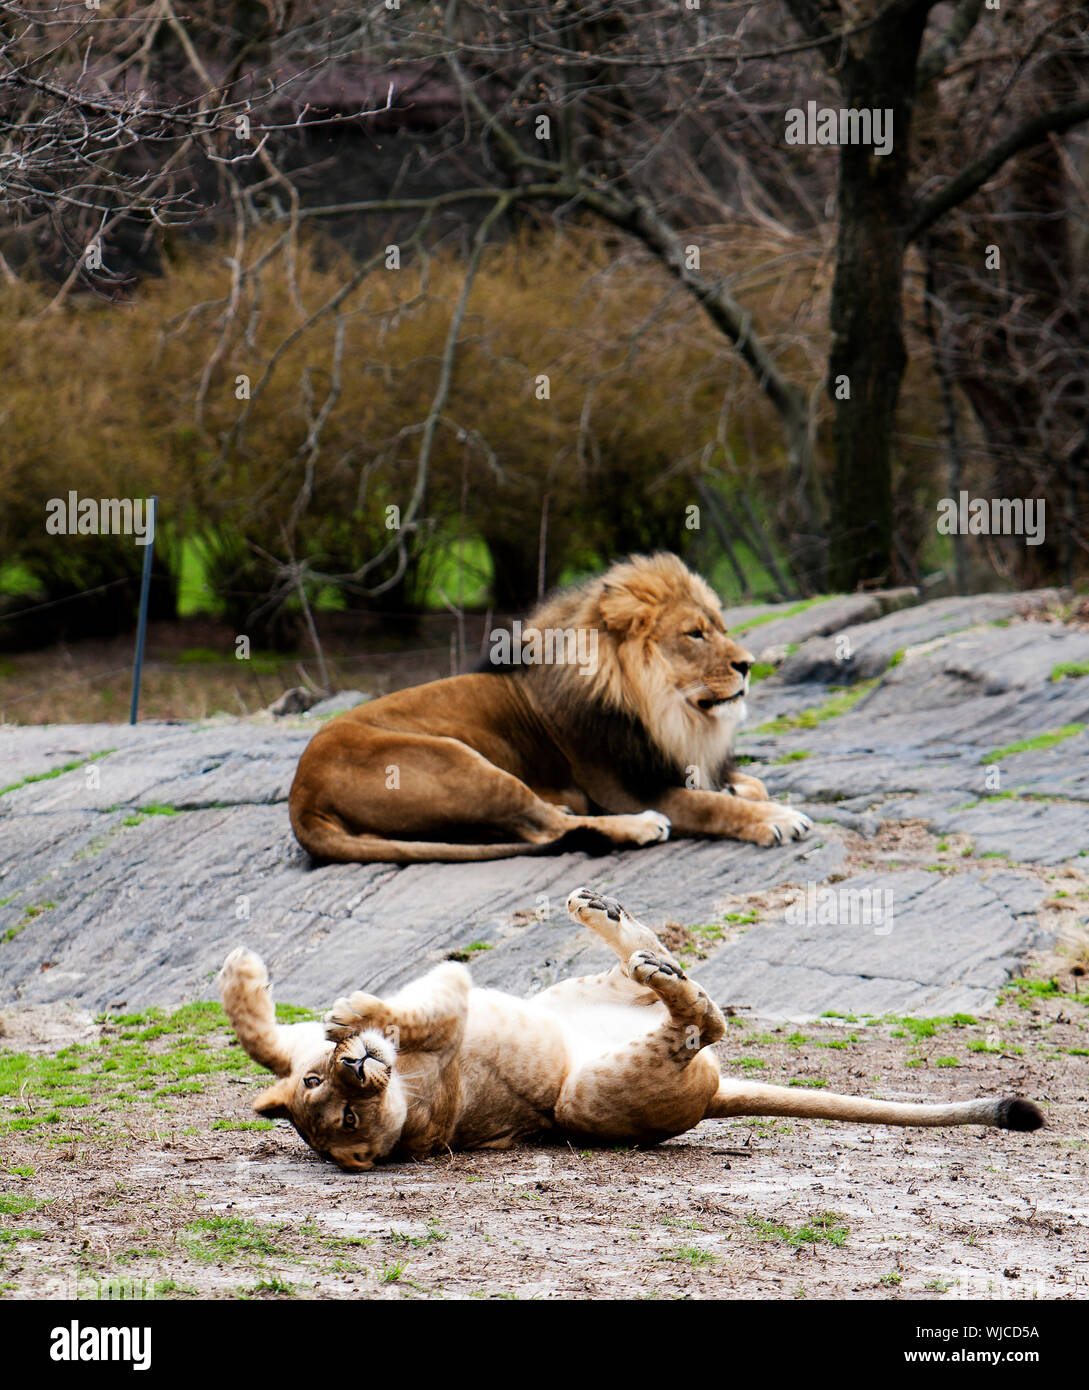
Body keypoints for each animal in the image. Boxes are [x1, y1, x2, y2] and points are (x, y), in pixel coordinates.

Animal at [219, 887, 1044, 1171]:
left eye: (324, 1087)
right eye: (345, 1121)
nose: (355, 1068)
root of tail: (714, 1097)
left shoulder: (308, 1045)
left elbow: (261, 1035)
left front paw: (242, 971)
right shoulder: (447, 1026)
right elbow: (428, 998)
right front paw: (359, 1015)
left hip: (572, 994)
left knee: (667, 972)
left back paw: (604, 912)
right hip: (586, 1098)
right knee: (704, 1020)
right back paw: (658, 972)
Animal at [288, 552, 812, 863]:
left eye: (720, 626)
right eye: (694, 634)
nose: (747, 665)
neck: (666, 710)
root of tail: (301, 797)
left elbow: (747, 783)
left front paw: (746, 789)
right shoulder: (624, 788)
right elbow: (710, 805)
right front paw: (776, 818)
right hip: (459, 762)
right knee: (546, 826)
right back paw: (639, 827)